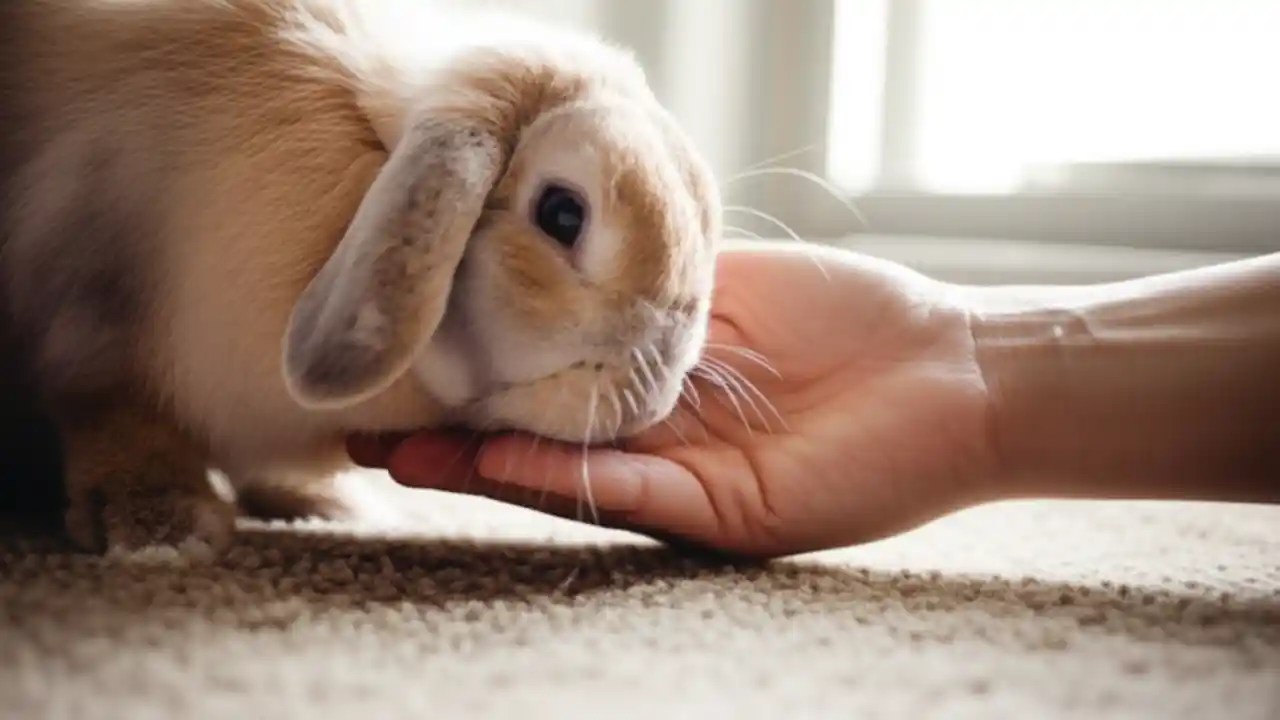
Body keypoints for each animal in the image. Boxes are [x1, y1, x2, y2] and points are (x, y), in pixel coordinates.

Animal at [0, 0, 721, 558]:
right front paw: (165, 529)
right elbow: (118, 416)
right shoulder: (90, 309)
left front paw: (323, 500)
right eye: (563, 214)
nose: (655, 393)